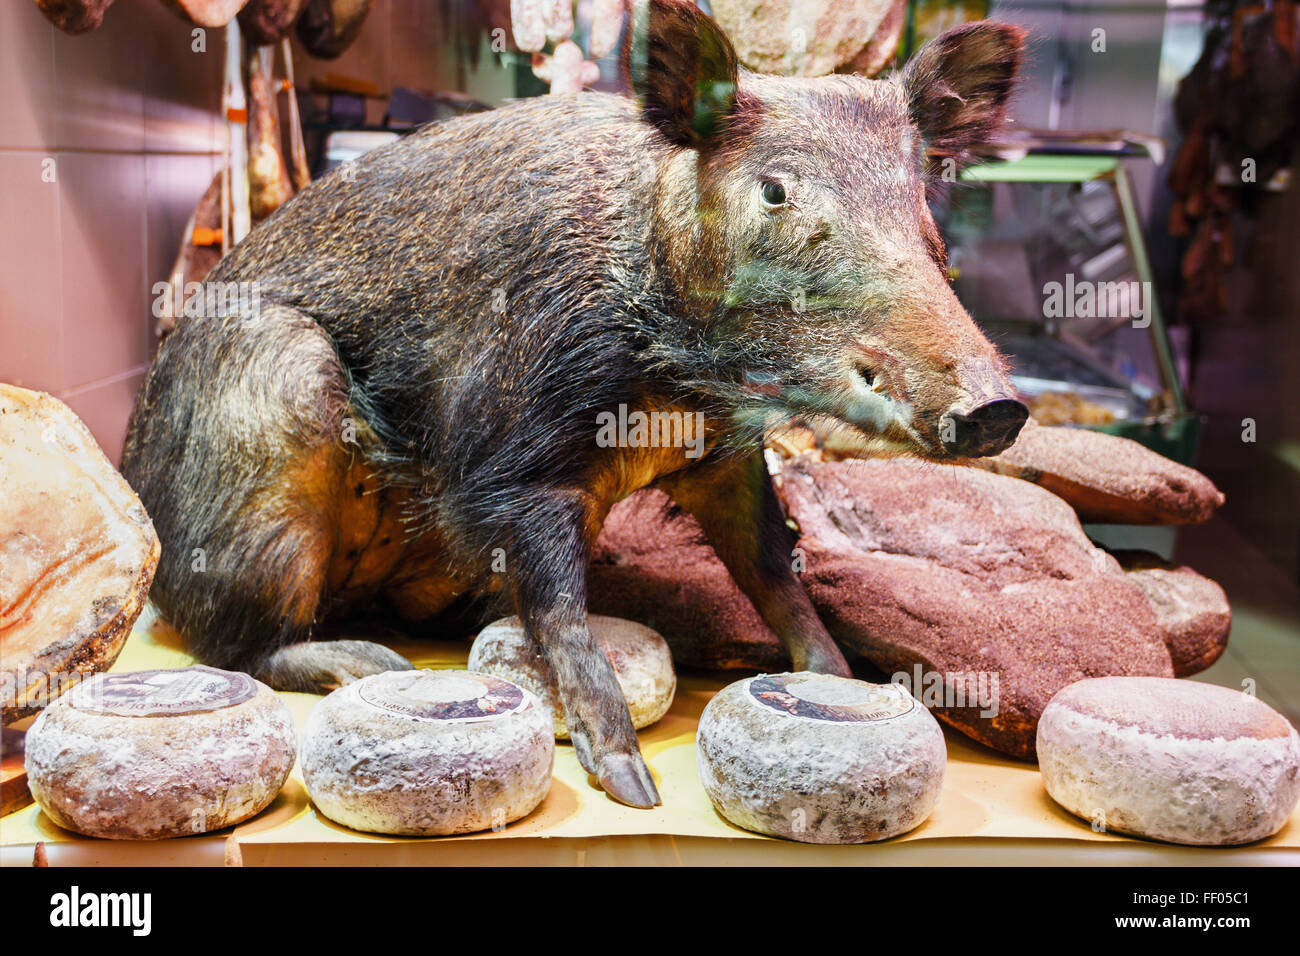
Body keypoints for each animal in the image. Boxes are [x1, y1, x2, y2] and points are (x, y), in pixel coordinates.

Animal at [121, 0, 1027, 809]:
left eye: (919, 194)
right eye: (775, 191)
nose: (1000, 408)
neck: (676, 384)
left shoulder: (722, 459)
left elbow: (772, 565)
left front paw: (837, 679)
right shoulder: (516, 456)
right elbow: (562, 607)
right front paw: (633, 786)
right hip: (274, 416)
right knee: (236, 646)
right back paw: (377, 665)